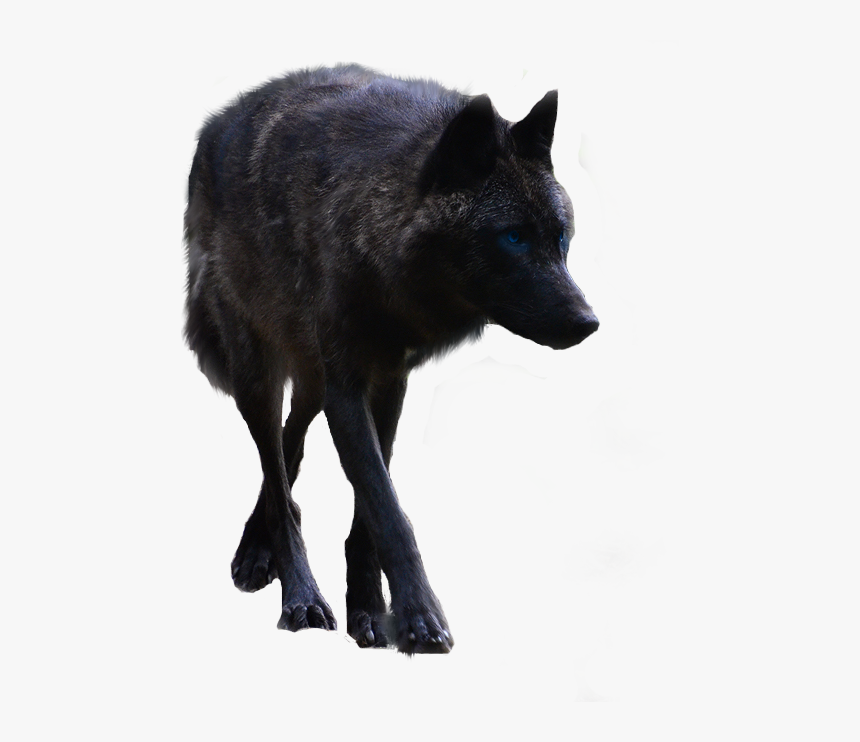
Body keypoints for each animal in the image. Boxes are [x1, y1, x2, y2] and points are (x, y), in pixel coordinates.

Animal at [184, 64, 598, 654]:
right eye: (513, 238)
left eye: (561, 237)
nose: (589, 322)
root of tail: (216, 122)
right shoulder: (349, 387)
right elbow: (388, 512)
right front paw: (421, 620)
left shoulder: (386, 381)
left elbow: (370, 515)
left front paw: (370, 614)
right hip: (256, 372)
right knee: (276, 468)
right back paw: (299, 596)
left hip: (312, 375)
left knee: (290, 446)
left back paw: (255, 550)